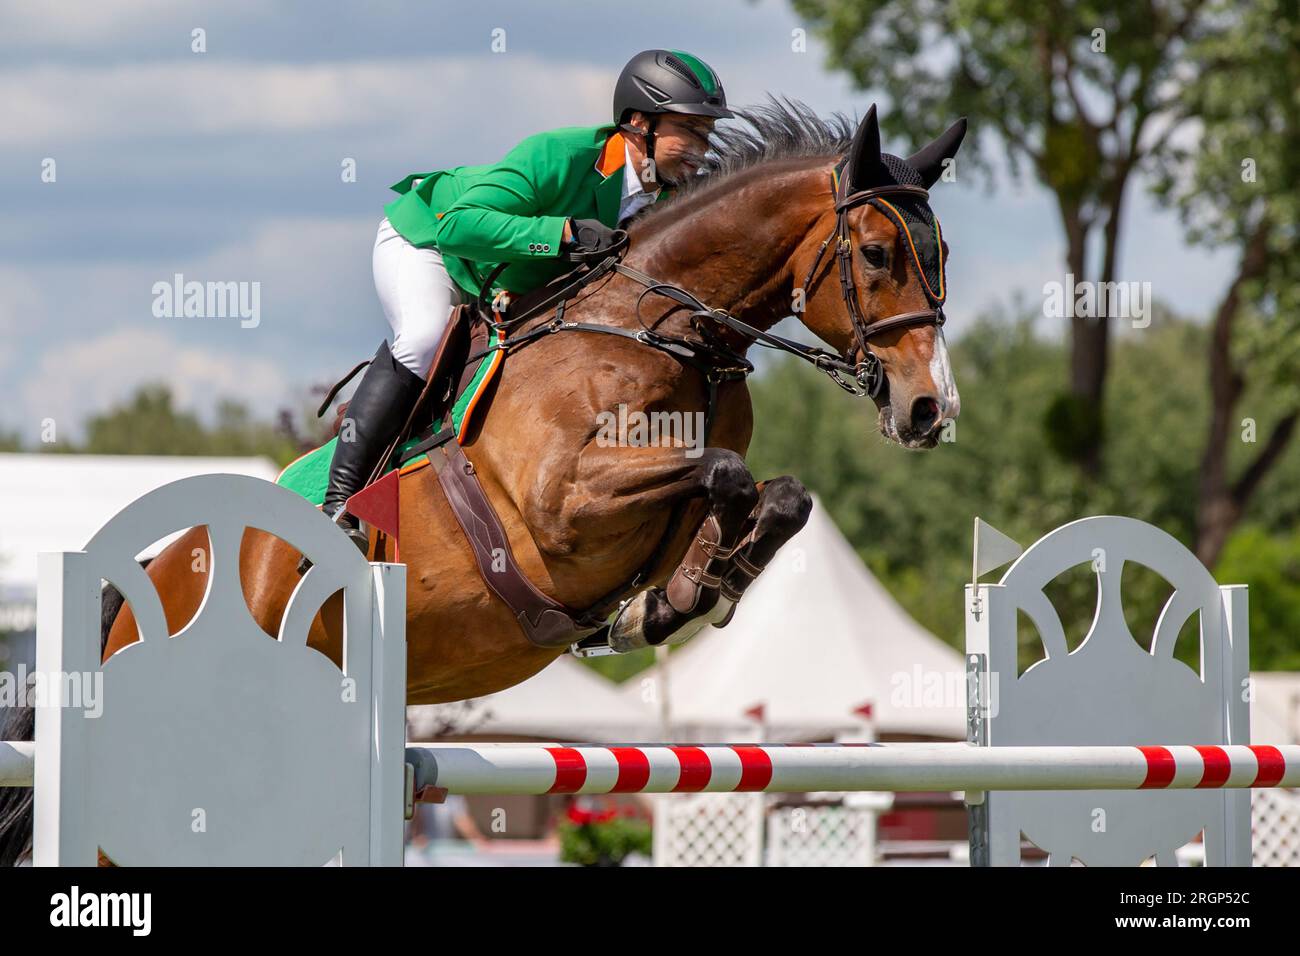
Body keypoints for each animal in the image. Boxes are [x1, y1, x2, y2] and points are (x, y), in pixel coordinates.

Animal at [0, 100, 964, 864]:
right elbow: (721, 473)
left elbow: (776, 496)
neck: (665, 328)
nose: (930, 409)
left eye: (941, 252)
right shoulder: (564, 503)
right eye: (877, 253)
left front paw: (681, 598)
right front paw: (684, 594)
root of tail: (150, 575)